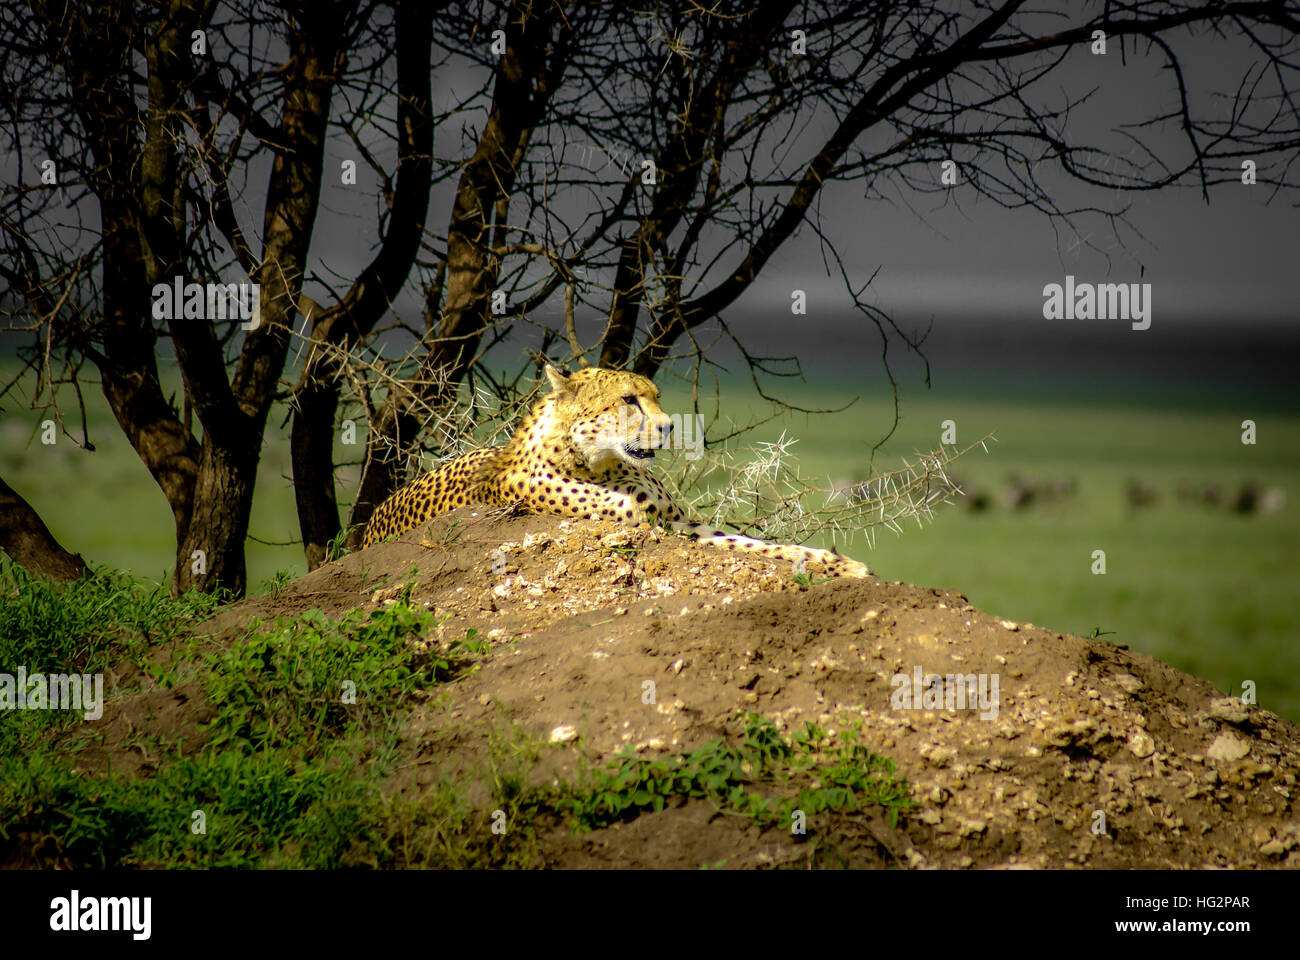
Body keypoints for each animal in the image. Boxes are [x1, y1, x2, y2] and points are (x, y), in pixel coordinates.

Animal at [360, 365, 871, 578]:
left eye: (656, 396)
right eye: (628, 399)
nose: (668, 427)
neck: (597, 461)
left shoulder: (681, 521)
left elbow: (753, 543)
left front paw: (837, 562)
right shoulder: (656, 525)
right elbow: (743, 547)